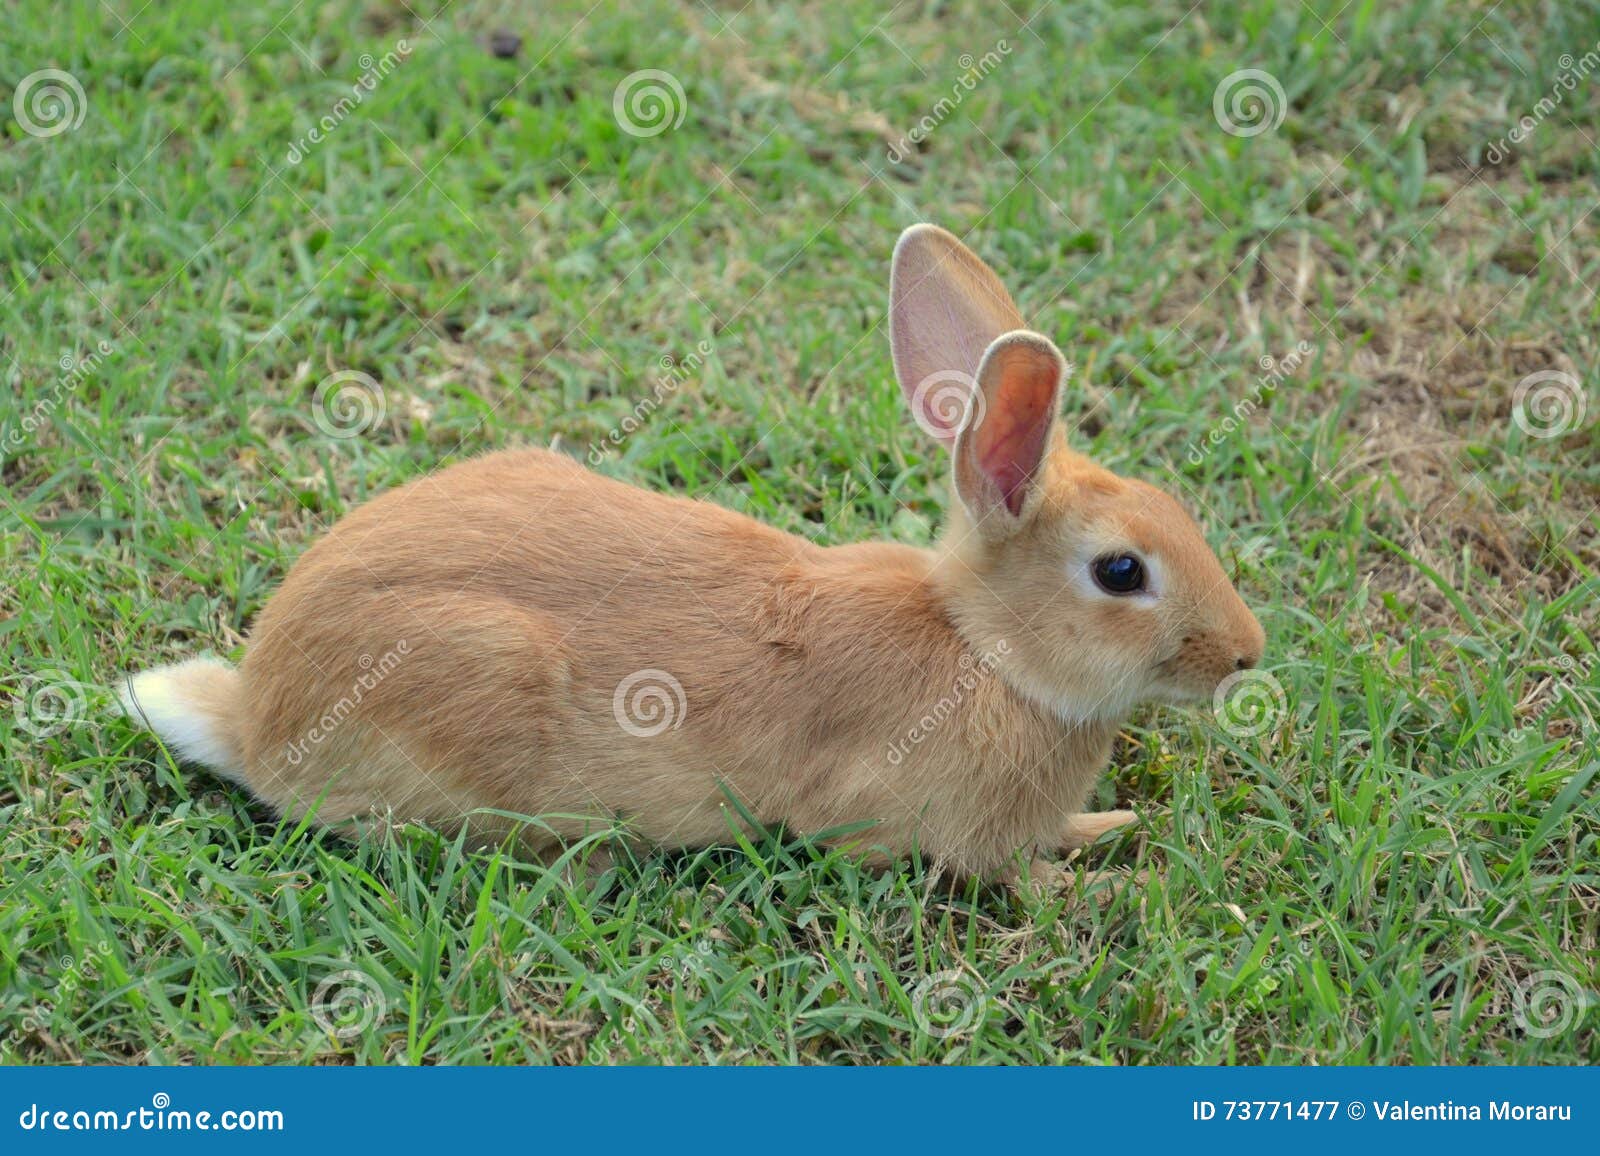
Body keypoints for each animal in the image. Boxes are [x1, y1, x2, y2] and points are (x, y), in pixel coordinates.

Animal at [120, 223, 1264, 885]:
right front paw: (1093, 865)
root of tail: (258, 717)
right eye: (1121, 573)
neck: (983, 649)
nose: (1245, 653)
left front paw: (1108, 825)